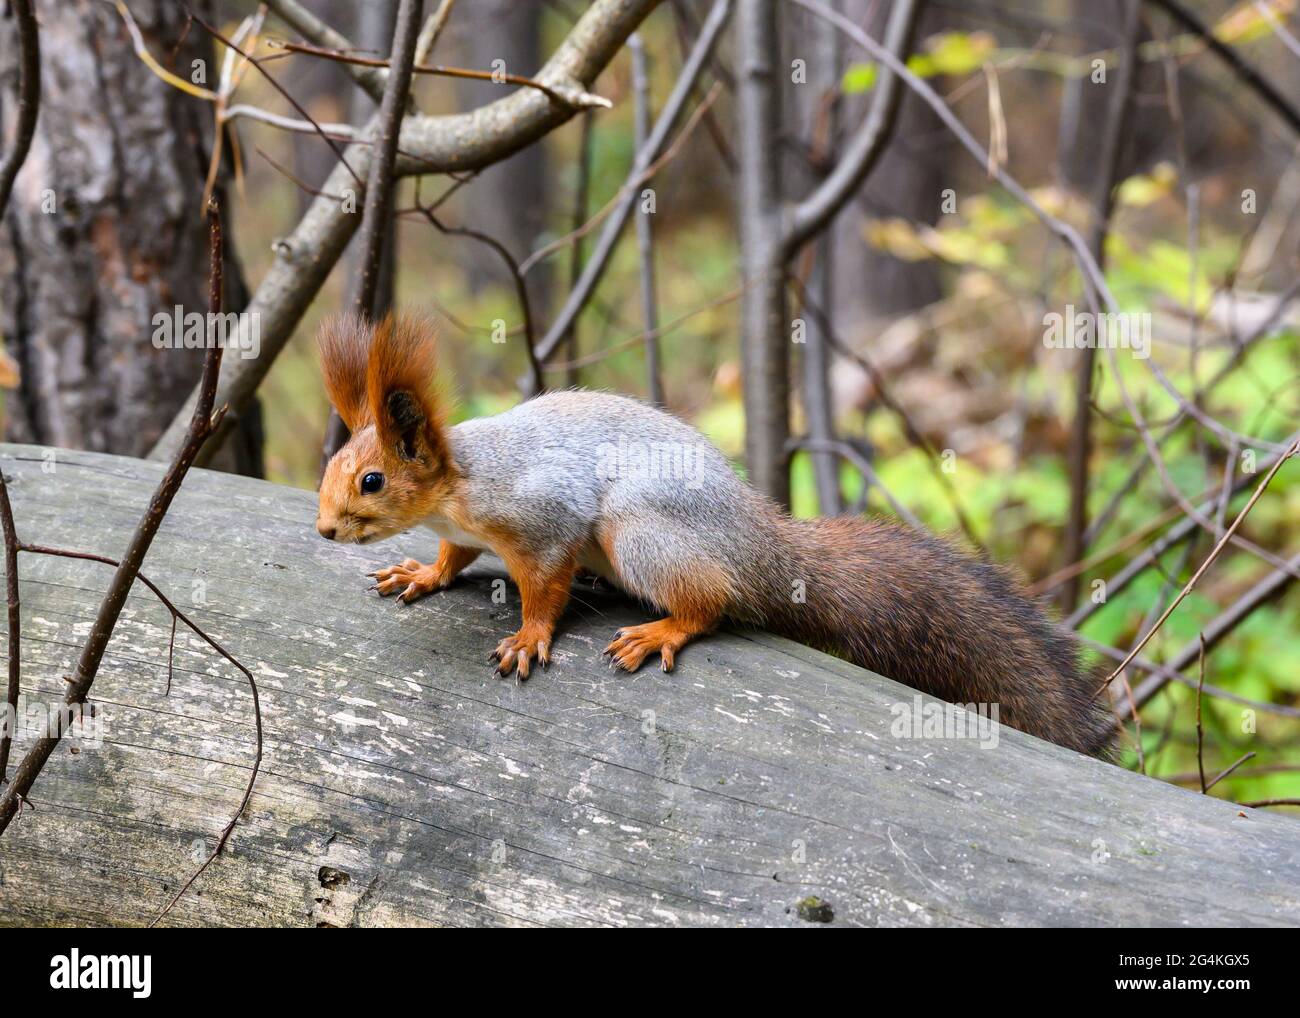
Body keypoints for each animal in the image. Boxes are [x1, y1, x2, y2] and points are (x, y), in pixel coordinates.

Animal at [315, 313, 1114, 757]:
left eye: (372, 481)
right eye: (333, 464)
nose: (324, 529)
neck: (460, 482)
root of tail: (764, 551)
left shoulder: (541, 520)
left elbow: (544, 583)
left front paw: (529, 636)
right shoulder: (463, 529)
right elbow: (453, 556)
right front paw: (421, 573)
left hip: (641, 534)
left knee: (713, 600)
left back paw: (663, 629)